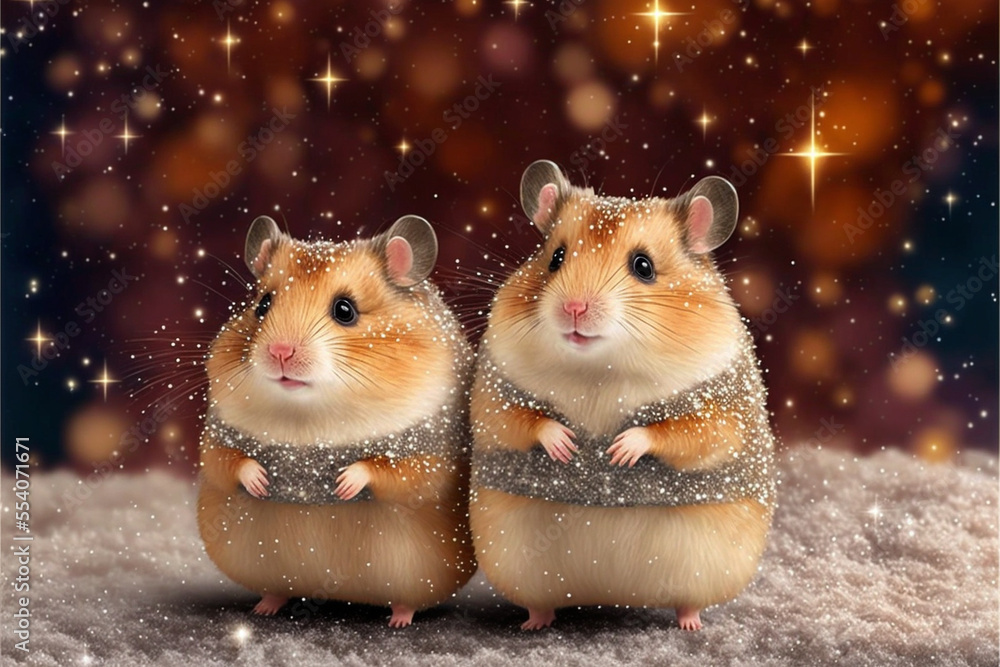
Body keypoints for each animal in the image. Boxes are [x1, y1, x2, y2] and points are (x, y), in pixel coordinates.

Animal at [197, 214, 476, 627]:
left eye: (345, 310)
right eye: (262, 304)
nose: (280, 352)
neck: (309, 417)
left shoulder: (431, 453)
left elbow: (394, 471)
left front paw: (343, 484)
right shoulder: (216, 438)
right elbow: (227, 461)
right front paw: (261, 481)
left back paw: (399, 618)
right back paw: (265, 606)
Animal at [469, 160, 776, 631]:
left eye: (643, 266)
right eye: (555, 257)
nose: (574, 308)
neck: (600, 370)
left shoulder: (721, 409)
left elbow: (688, 432)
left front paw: (619, 451)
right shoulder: (493, 391)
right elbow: (517, 419)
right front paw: (566, 446)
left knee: (691, 601)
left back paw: (690, 622)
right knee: (539, 604)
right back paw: (533, 621)